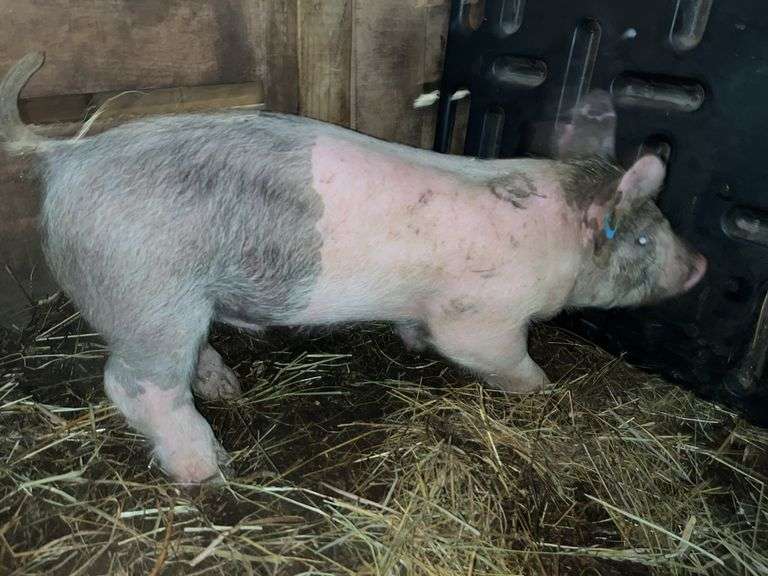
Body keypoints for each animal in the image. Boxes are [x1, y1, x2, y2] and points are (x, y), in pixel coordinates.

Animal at [0, 53, 706, 483]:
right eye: (644, 238)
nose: (701, 263)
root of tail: (68, 157)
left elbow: (419, 331)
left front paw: (414, 343)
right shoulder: (483, 314)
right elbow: (494, 355)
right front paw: (542, 390)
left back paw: (227, 390)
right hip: (147, 295)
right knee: (133, 384)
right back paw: (212, 470)